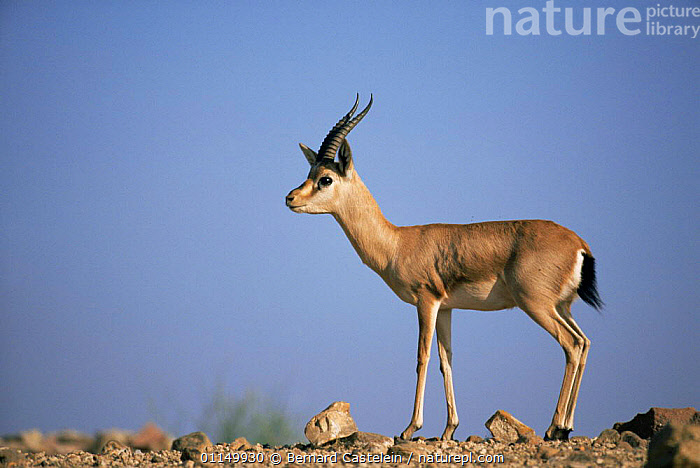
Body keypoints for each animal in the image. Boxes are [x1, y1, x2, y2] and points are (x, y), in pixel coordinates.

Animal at [285, 95, 603, 441]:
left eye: (326, 179)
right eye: (309, 172)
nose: (290, 198)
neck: (398, 243)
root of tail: (578, 244)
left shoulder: (426, 301)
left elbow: (422, 357)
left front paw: (410, 427)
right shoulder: (447, 308)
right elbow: (446, 360)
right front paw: (449, 429)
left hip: (536, 305)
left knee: (571, 344)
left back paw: (554, 427)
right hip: (562, 306)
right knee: (585, 342)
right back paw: (566, 427)